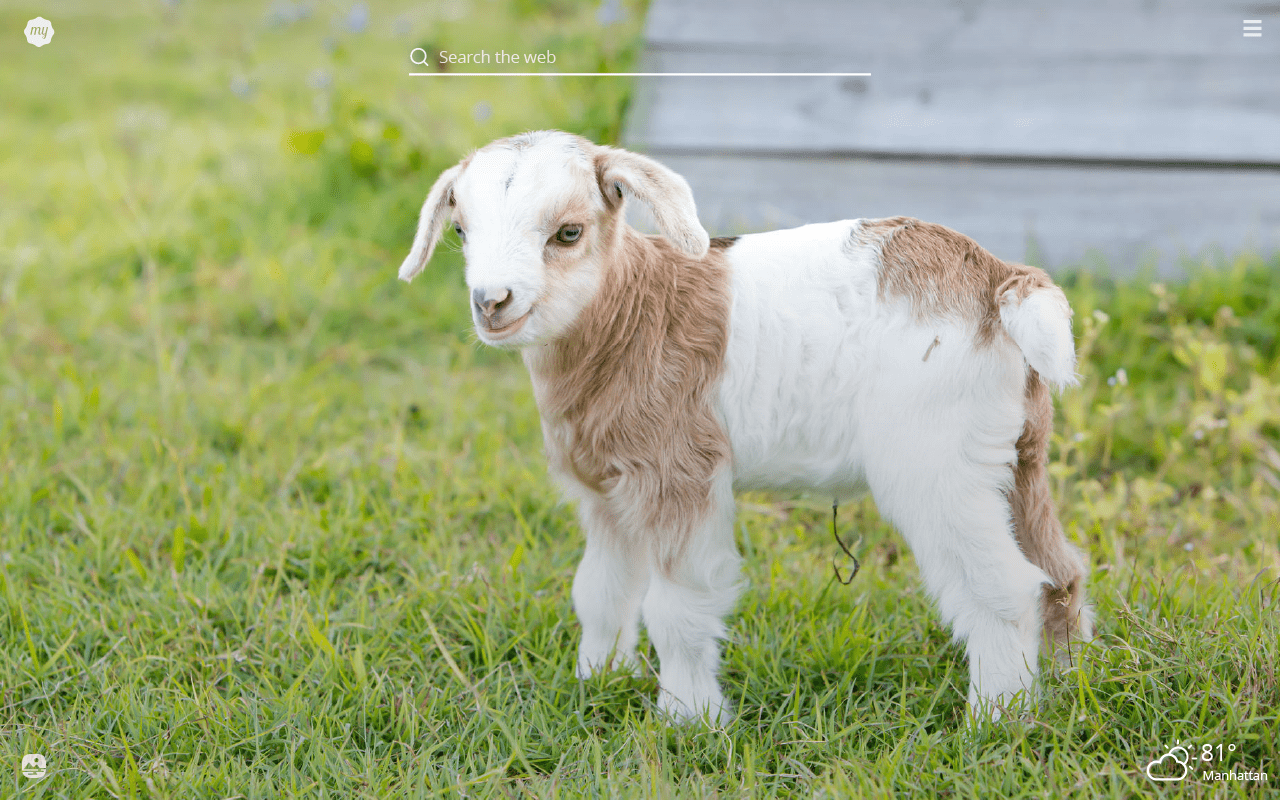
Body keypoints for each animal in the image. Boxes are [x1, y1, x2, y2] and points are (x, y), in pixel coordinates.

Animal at [398, 130, 1093, 723]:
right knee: (1058, 570)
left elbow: (676, 609)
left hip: (936, 463)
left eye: (568, 232)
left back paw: (997, 718)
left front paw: (689, 722)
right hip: (1015, 455)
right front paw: (596, 683)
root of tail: (999, 282)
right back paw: (1071, 683)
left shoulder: (680, 473)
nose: (492, 302)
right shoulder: (608, 495)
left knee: (1003, 587)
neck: (631, 314)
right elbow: (598, 592)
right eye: (460, 230)